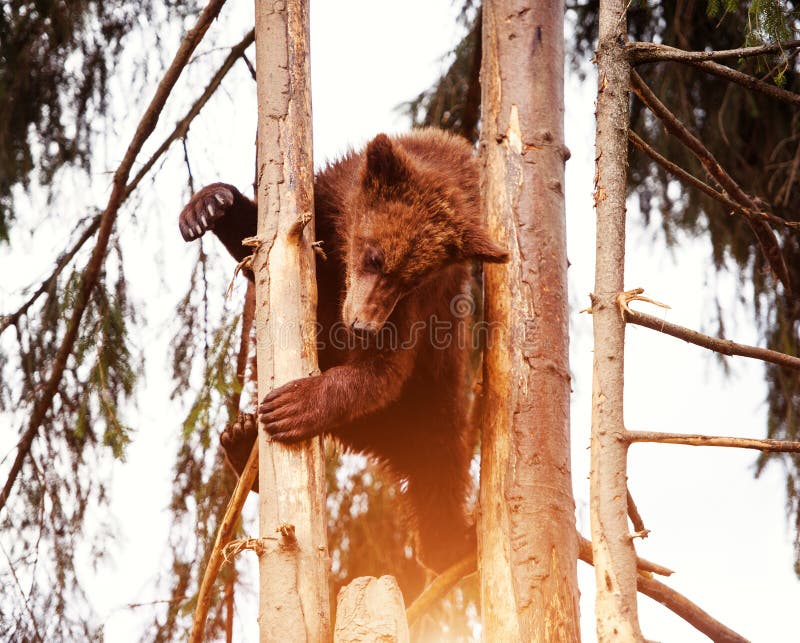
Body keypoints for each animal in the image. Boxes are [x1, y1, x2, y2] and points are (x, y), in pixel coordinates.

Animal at [178, 128, 508, 573]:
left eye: (413, 276)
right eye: (374, 257)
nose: (362, 325)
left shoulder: (422, 305)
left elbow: (384, 371)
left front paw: (294, 403)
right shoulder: (322, 206)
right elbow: (261, 246)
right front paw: (209, 205)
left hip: (434, 402)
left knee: (439, 466)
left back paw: (451, 543)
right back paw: (241, 439)